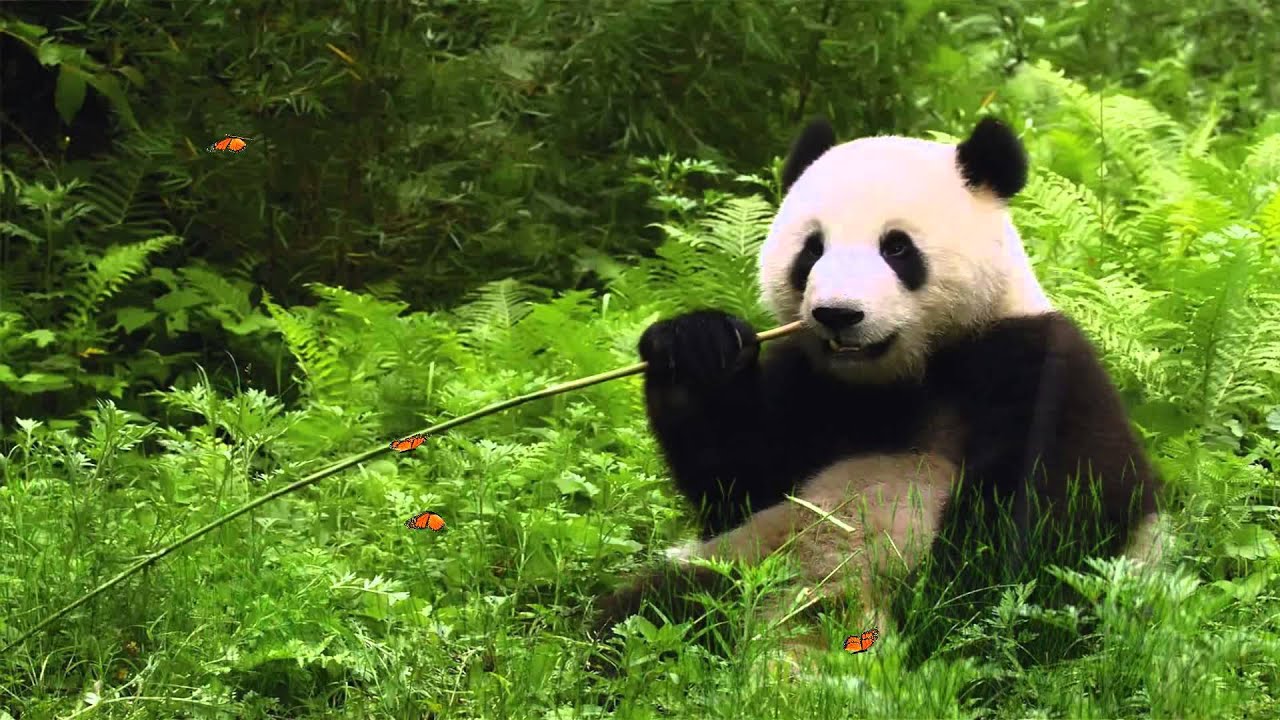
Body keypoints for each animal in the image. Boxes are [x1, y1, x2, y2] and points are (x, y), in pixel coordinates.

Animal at [590, 116, 1168, 669]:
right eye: (811, 250)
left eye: (896, 248)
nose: (838, 314)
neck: (902, 375)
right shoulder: (808, 381)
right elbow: (737, 478)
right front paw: (698, 347)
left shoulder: (1035, 363)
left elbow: (1061, 512)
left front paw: (954, 595)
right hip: (746, 561)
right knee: (652, 612)